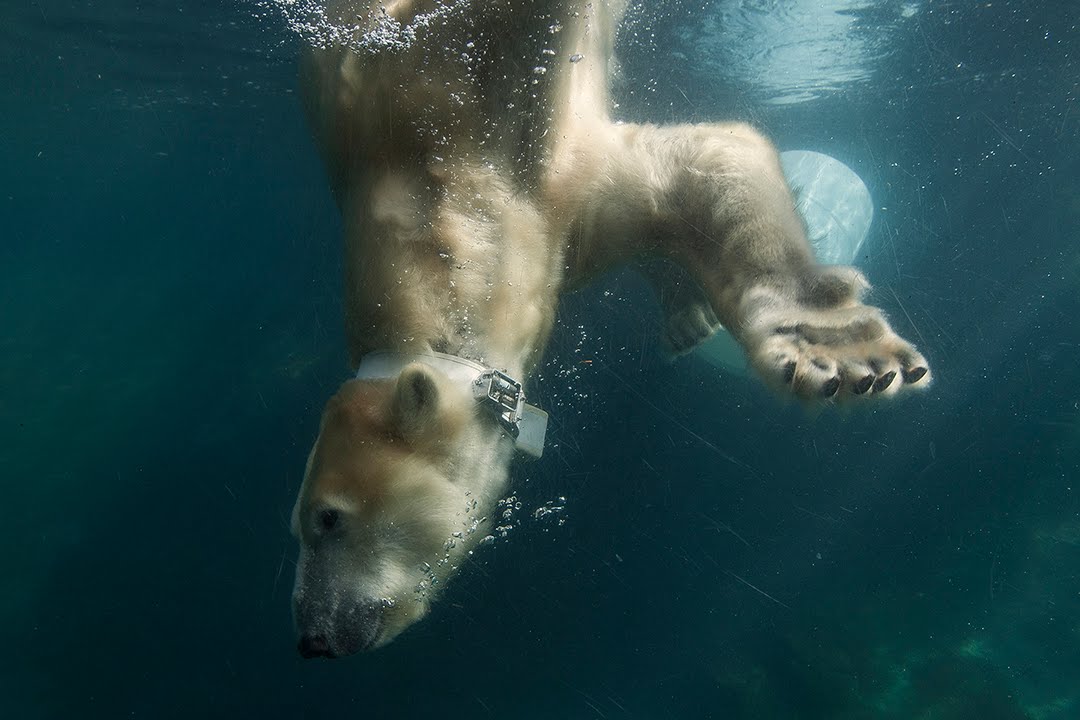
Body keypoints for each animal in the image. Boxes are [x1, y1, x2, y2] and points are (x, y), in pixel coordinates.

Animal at [289, 0, 931, 658]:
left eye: (328, 518)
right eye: (298, 526)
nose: (311, 638)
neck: (438, 204)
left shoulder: (520, 150)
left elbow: (715, 154)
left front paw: (840, 353)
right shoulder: (553, 232)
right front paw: (684, 299)